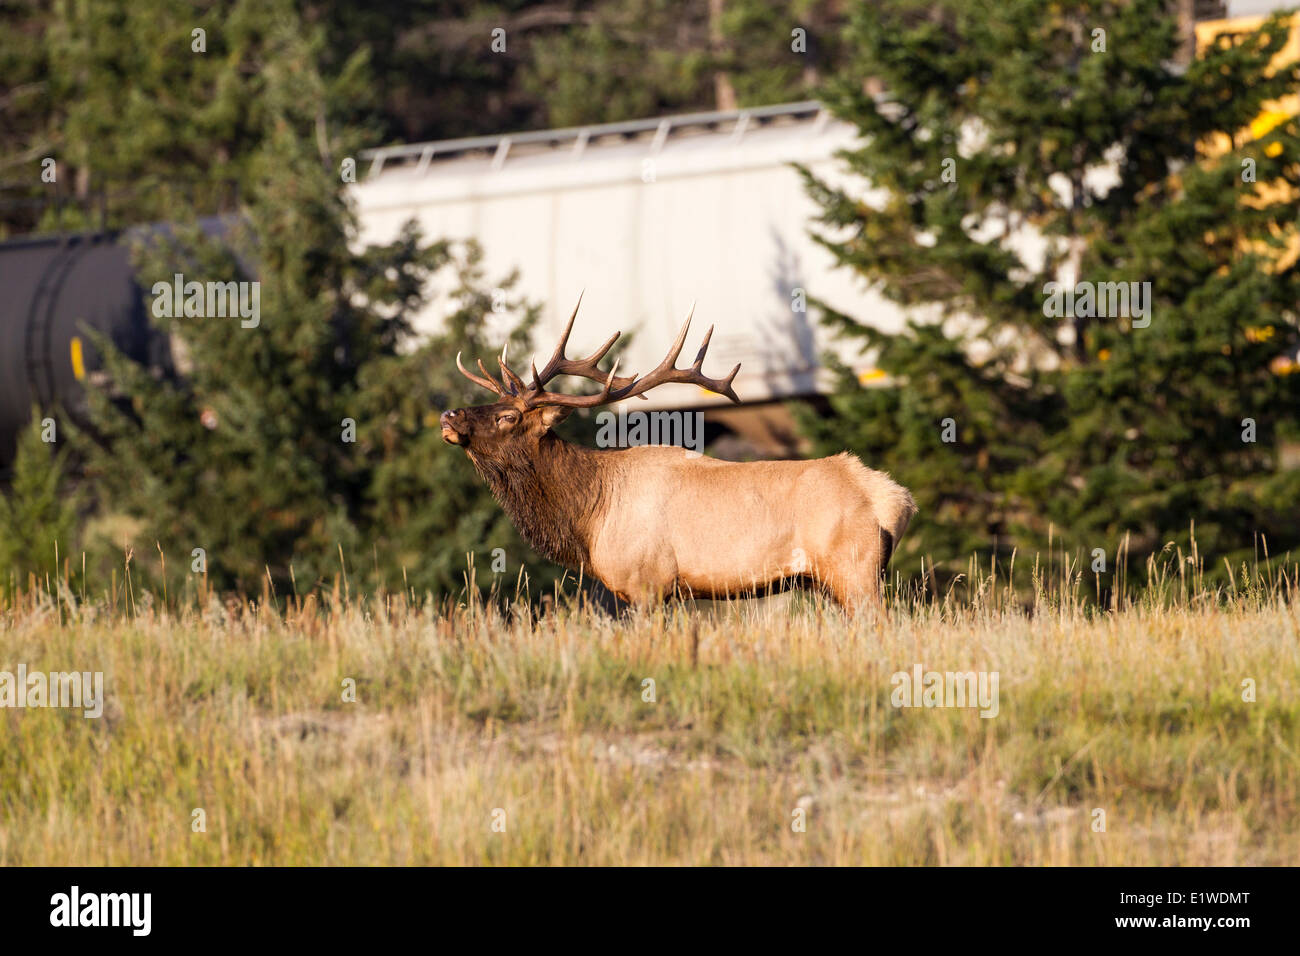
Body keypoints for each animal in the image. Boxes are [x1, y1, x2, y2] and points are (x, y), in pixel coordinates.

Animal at [439, 295, 916, 613]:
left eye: (508, 416)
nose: (449, 414)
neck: (589, 516)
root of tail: (896, 499)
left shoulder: (646, 582)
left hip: (854, 570)